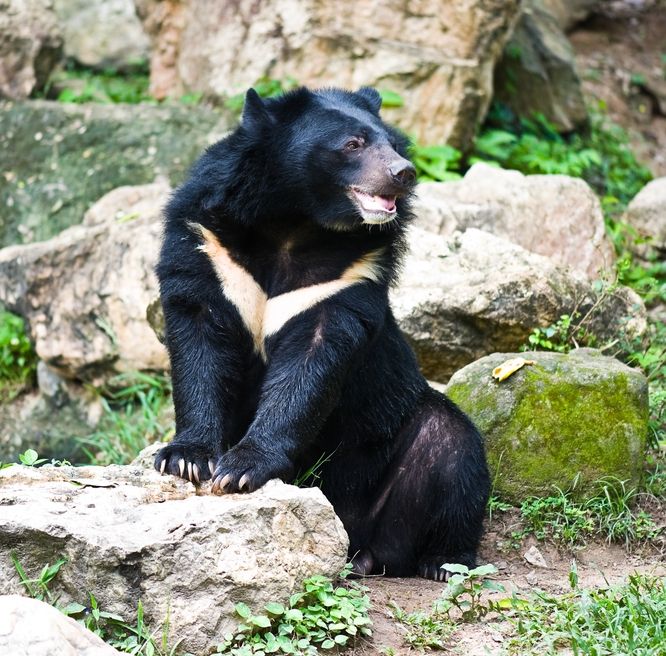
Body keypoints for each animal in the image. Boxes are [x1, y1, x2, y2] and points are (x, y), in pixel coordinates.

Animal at [154, 86, 490, 579]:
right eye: (353, 144)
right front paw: (186, 459)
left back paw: (443, 562)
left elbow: (310, 365)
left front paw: (241, 468)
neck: (295, 222)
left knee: (454, 455)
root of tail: (357, 542)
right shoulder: (205, 246)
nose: (403, 173)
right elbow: (199, 341)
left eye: (392, 143)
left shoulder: (350, 275)